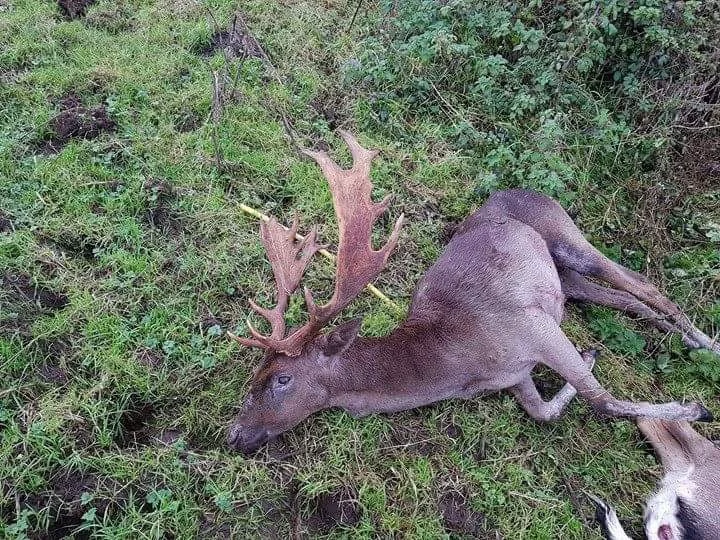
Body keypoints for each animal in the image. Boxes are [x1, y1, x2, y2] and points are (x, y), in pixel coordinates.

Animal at [226, 130, 718, 454]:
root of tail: (527, 187)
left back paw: (705, 342)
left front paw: (696, 410)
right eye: (256, 374)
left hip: (566, 233)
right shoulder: (517, 372)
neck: (459, 365)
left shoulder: (531, 324)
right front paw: (591, 356)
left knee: (643, 283)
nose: (232, 433)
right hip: (566, 279)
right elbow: (544, 412)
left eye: (281, 379)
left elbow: (603, 401)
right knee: (625, 298)